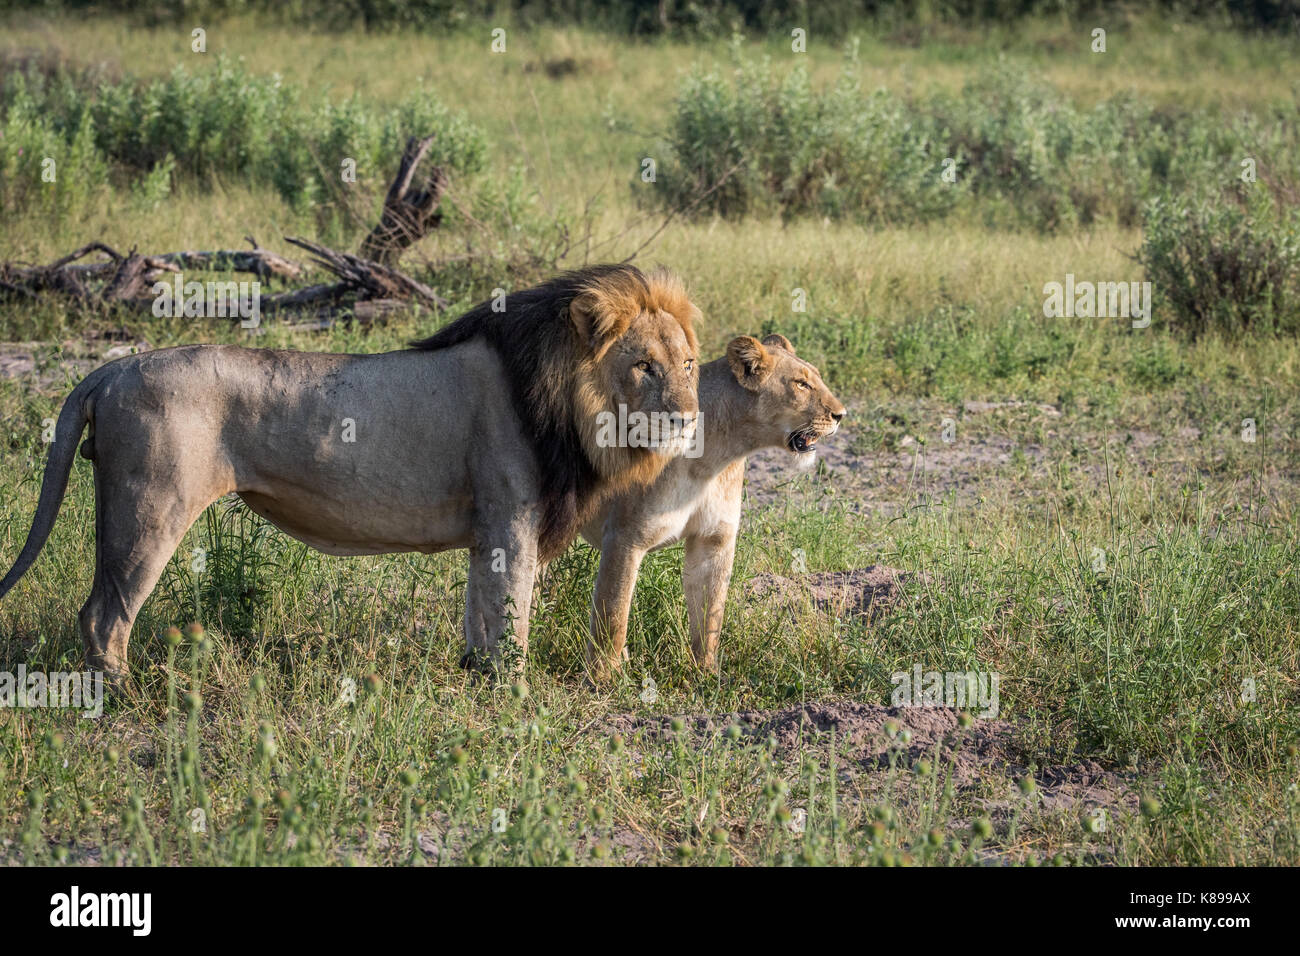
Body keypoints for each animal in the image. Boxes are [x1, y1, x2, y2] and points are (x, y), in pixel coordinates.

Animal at [0, 263, 701, 683]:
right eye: (643, 365)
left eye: (689, 364)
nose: (690, 419)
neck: (569, 403)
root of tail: (111, 369)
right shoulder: (513, 520)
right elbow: (513, 618)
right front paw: (514, 694)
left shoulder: (489, 531)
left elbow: (480, 611)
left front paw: (474, 679)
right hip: (149, 510)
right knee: (103, 613)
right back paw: (122, 694)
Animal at [579, 334, 844, 677]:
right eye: (801, 384)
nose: (841, 415)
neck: (712, 458)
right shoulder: (624, 537)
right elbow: (613, 613)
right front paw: (603, 680)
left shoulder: (713, 539)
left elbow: (710, 613)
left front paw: (705, 673)